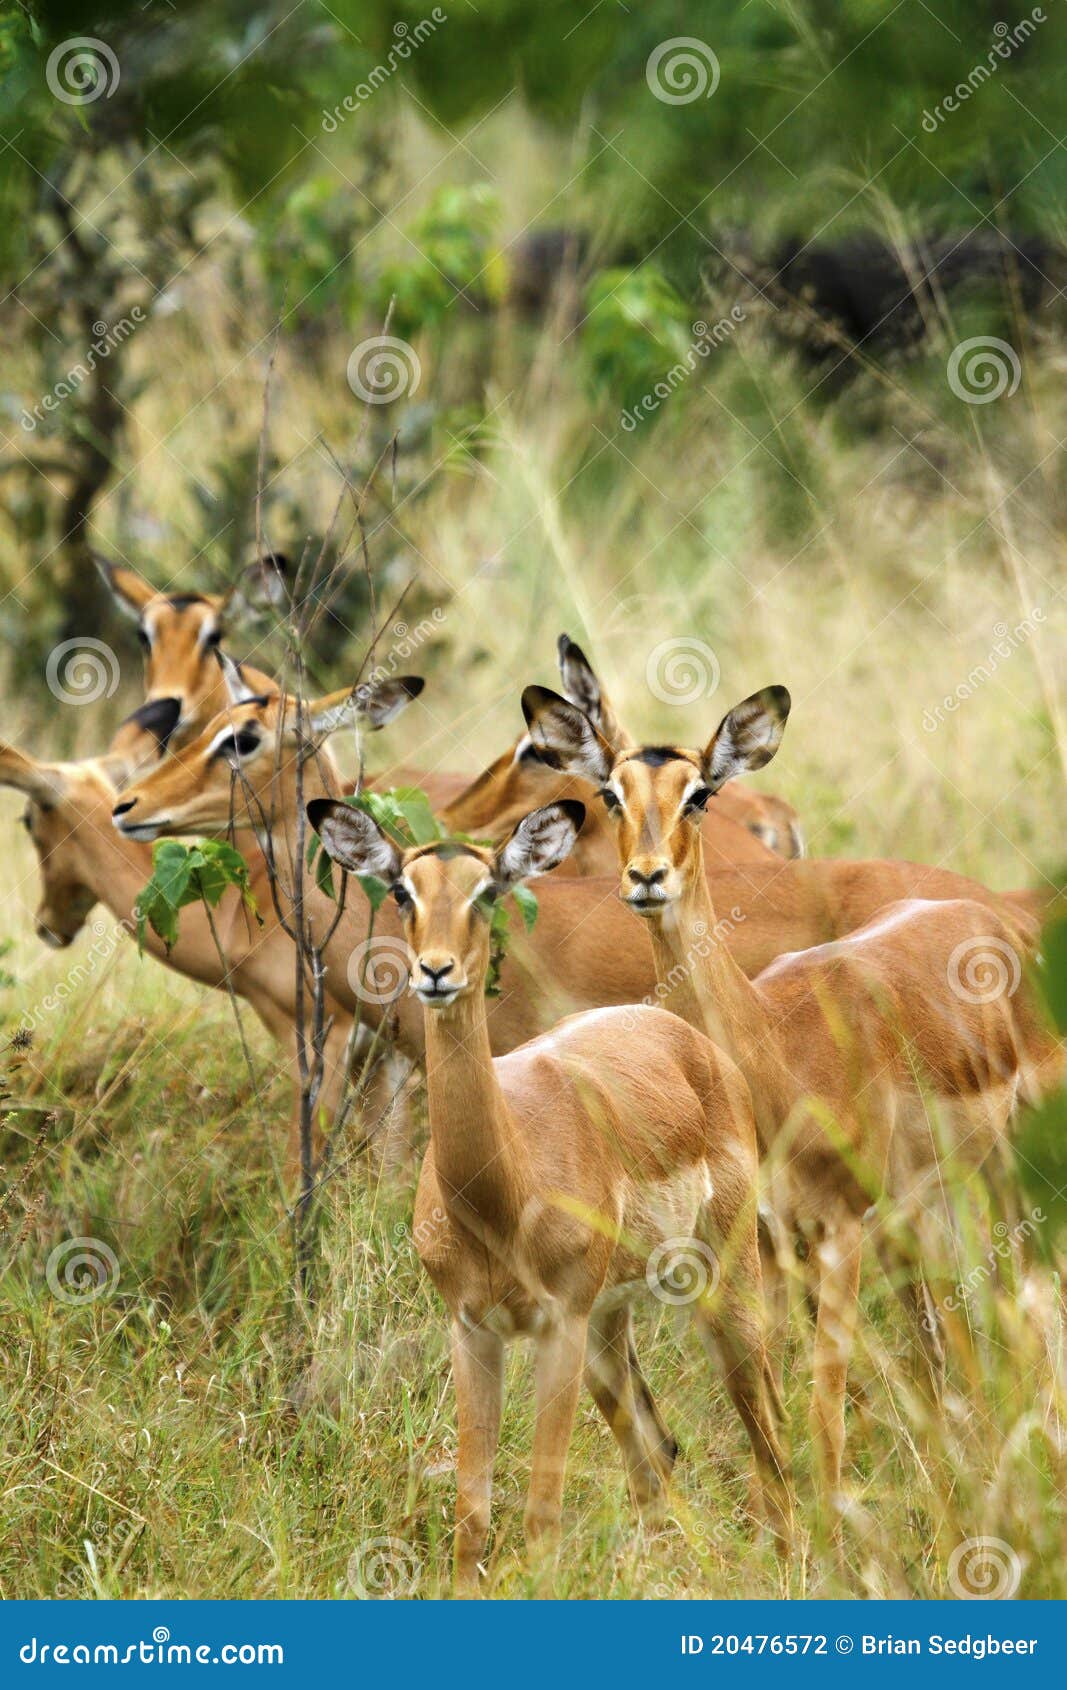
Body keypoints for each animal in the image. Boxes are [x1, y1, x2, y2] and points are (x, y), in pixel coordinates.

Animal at [307, 795, 791, 1581]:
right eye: (404, 891)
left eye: (487, 890)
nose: (435, 971)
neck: (501, 1197)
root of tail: (684, 1036)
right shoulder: (473, 1330)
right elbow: (473, 1518)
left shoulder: (556, 1326)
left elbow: (540, 1513)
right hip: (608, 1325)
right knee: (657, 1448)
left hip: (722, 1279)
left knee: (766, 1418)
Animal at [522, 682, 1060, 1517]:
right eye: (610, 792)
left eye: (698, 794)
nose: (646, 878)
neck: (776, 1050)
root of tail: (990, 919)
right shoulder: (774, 1242)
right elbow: (773, 1405)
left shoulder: (837, 1233)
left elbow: (822, 1414)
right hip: (932, 1201)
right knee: (958, 1330)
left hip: (1010, 1170)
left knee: (1032, 1303)